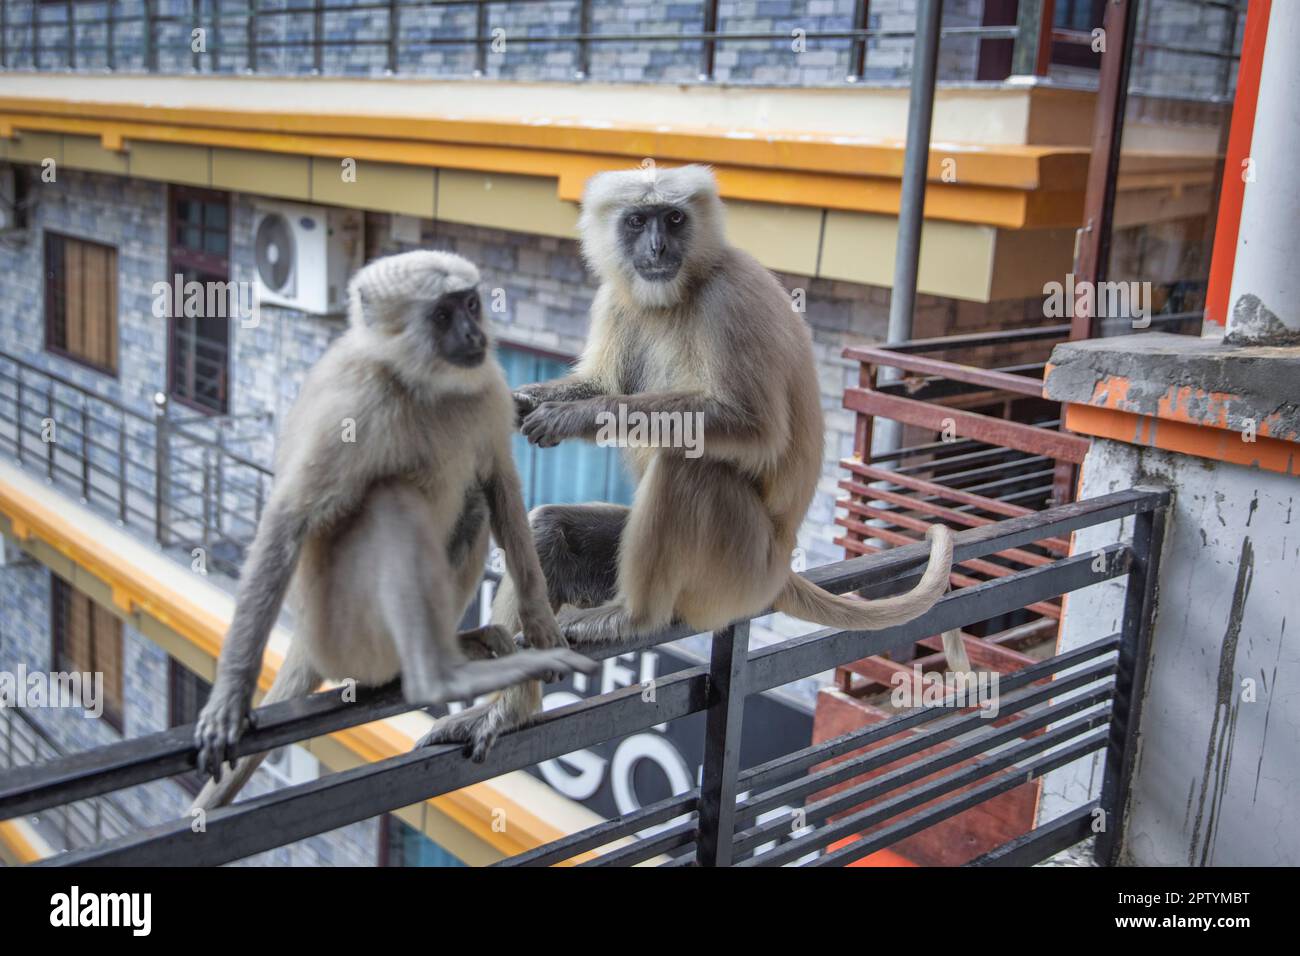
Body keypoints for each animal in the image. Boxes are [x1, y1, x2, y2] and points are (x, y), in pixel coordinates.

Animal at [191, 250, 594, 809]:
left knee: (468, 502)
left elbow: (500, 486)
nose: (474, 334)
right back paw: (433, 678)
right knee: (389, 499)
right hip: (343, 634)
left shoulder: (486, 387)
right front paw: (230, 696)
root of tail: (307, 646)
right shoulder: (355, 400)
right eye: (443, 316)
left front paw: (541, 626)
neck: (423, 386)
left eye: (471, 304)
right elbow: (288, 520)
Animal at [419, 164, 970, 763]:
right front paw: (520, 405)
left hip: (736, 568)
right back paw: (506, 710)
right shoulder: (617, 297)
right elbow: (603, 381)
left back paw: (632, 617)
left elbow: (752, 427)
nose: (658, 246)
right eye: (638, 221)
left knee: (688, 465)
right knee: (549, 528)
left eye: (674, 219)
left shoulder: (730, 298)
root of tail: (781, 564)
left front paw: (575, 416)